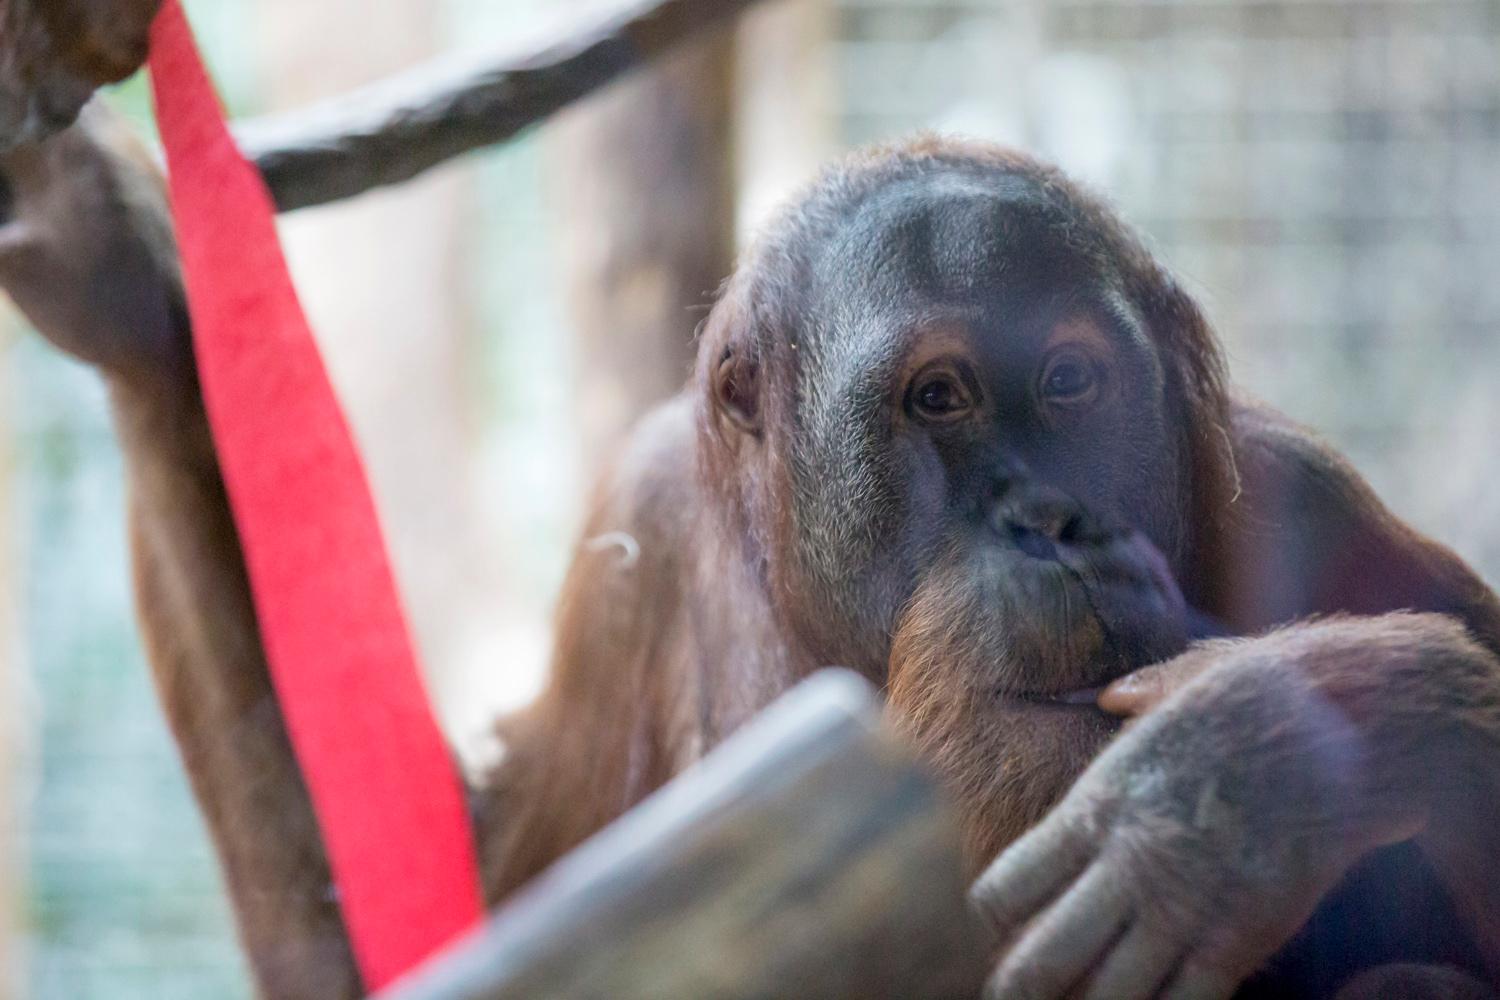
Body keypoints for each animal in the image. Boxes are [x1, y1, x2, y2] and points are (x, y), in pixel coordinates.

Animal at [3, 104, 1498, 1000]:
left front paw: (1252, 765)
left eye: (1071, 382)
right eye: (939, 396)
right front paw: (124, 280)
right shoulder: (640, 537)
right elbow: (417, 929)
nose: (1046, 518)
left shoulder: (1307, 501)